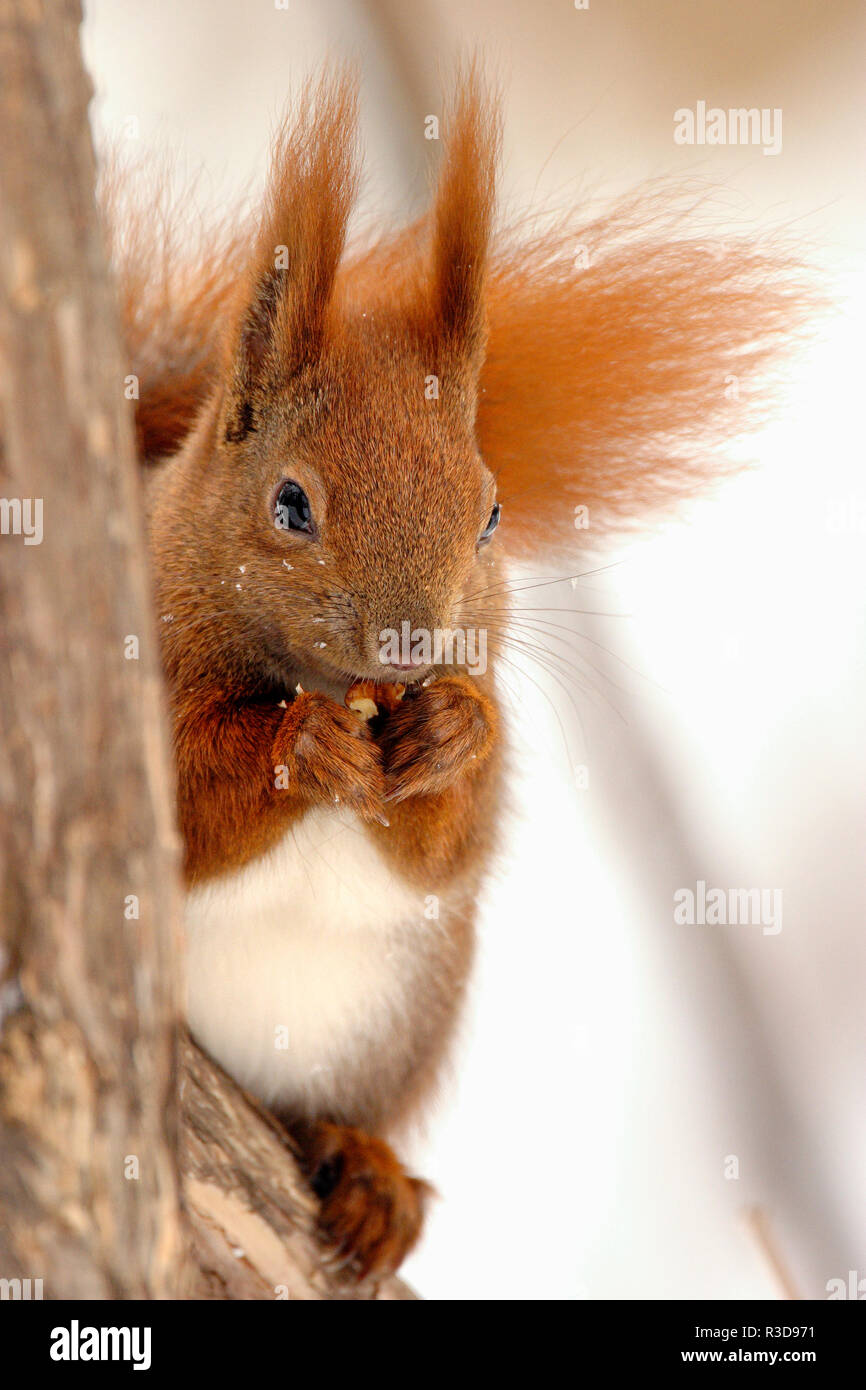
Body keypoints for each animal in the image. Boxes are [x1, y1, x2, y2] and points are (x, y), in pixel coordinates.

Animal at [115, 67, 803, 1281]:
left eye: (489, 513)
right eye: (289, 503)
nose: (408, 647)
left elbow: (453, 844)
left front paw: (450, 736)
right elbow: (181, 801)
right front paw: (300, 746)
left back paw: (368, 1173)